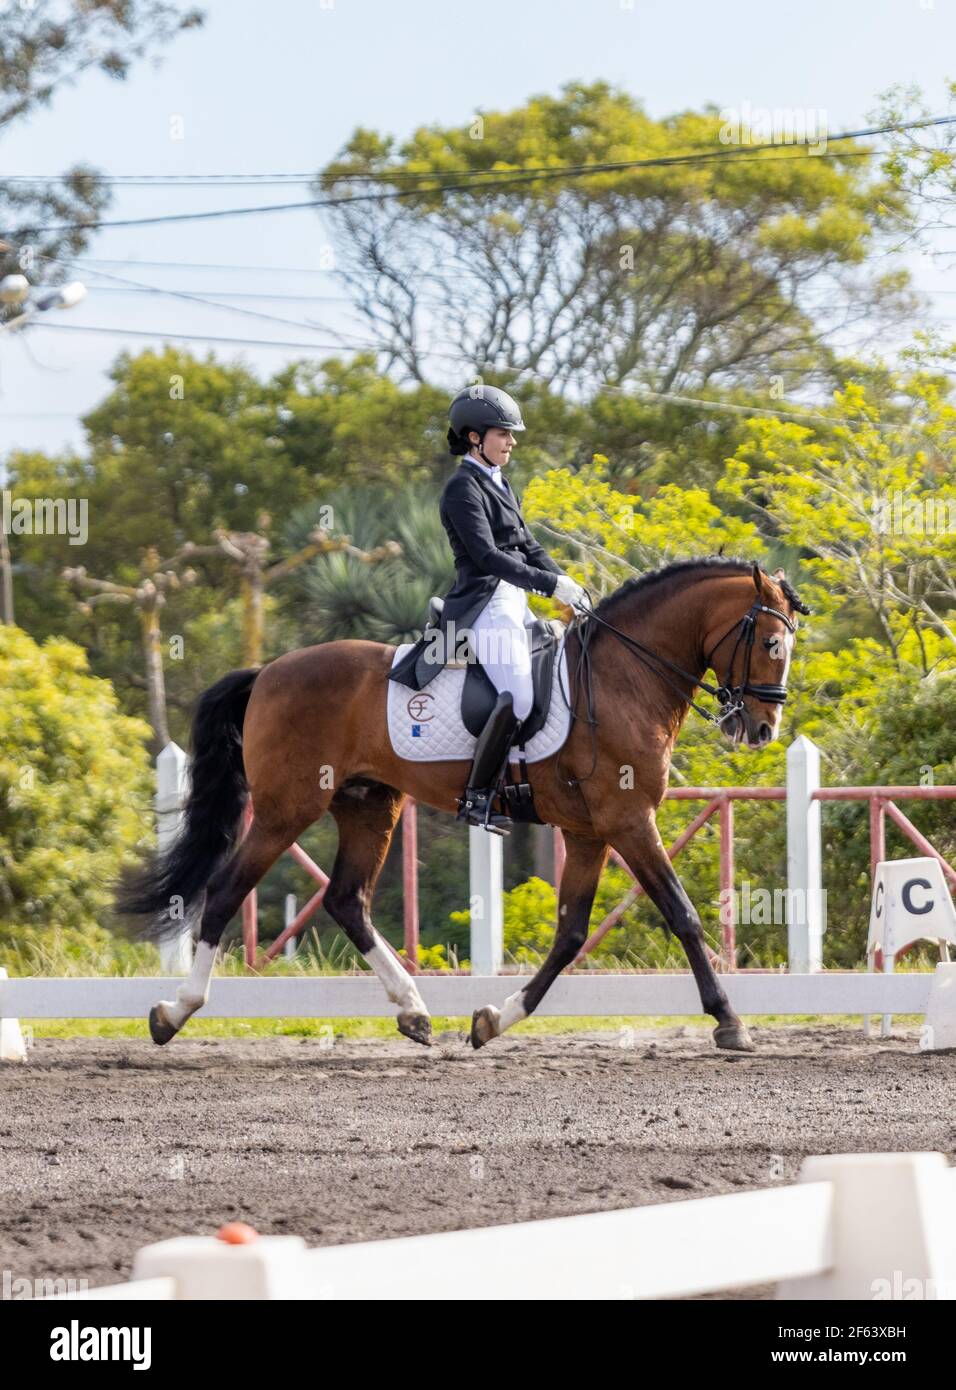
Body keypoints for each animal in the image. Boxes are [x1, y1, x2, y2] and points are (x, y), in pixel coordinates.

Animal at [118, 556, 807, 1054]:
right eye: (773, 643)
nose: (761, 729)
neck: (622, 677)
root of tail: (266, 673)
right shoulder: (629, 821)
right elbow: (683, 915)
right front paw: (730, 1022)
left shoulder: (590, 832)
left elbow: (570, 934)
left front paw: (493, 1020)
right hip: (288, 808)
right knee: (228, 891)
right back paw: (174, 1013)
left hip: (370, 806)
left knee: (347, 900)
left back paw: (415, 1013)